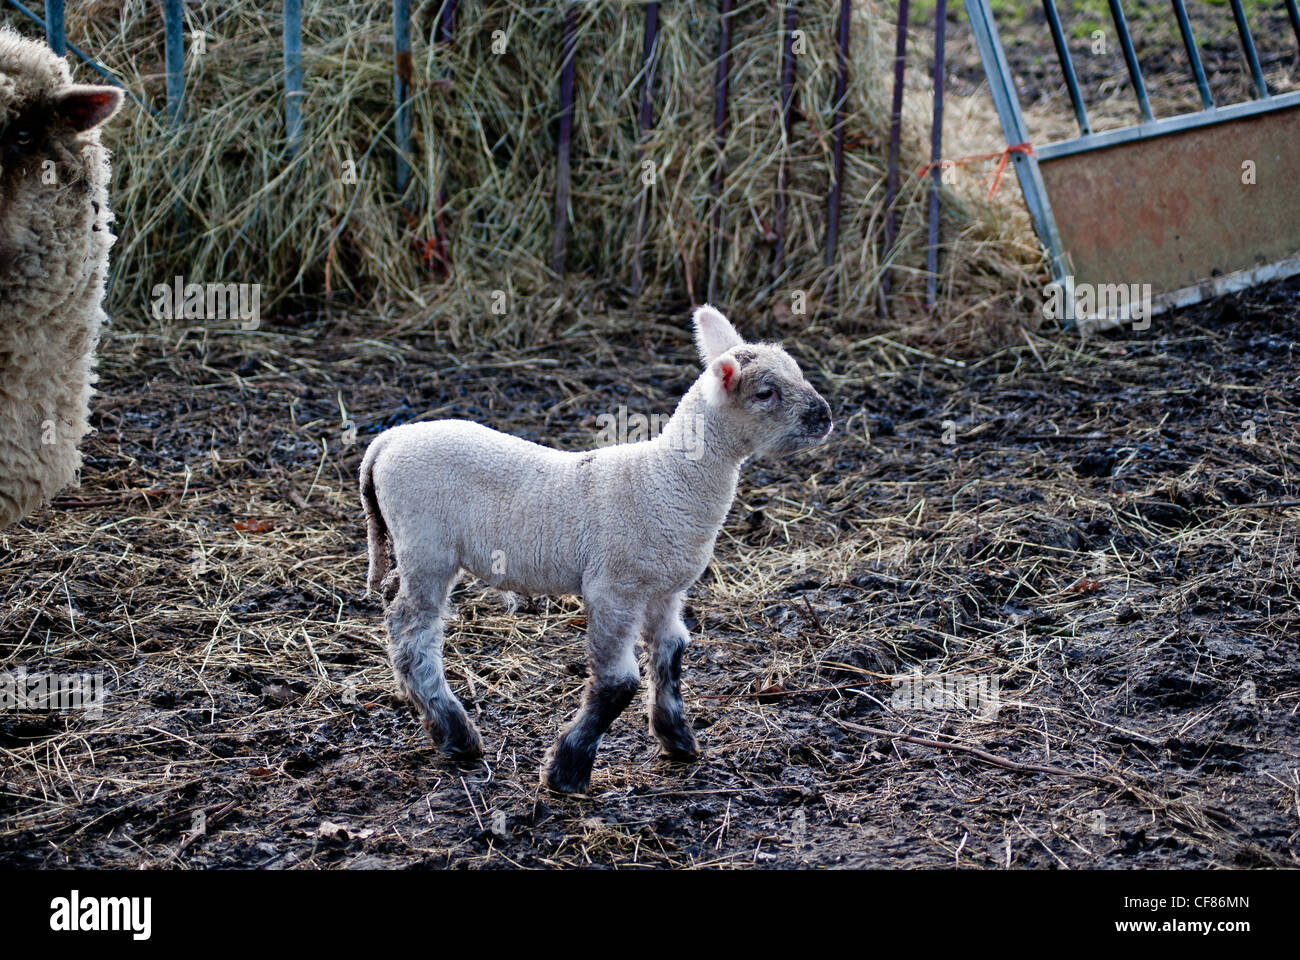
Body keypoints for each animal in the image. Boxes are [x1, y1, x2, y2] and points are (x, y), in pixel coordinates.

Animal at [360, 305, 833, 794]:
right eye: (766, 393)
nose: (825, 416)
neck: (667, 479)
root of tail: (387, 442)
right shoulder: (614, 587)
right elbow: (617, 682)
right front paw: (567, 770)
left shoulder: (665, 589)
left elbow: (671, 653)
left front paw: (678, 740)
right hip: (426, 546)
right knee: (411, 635)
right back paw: (456, 735)